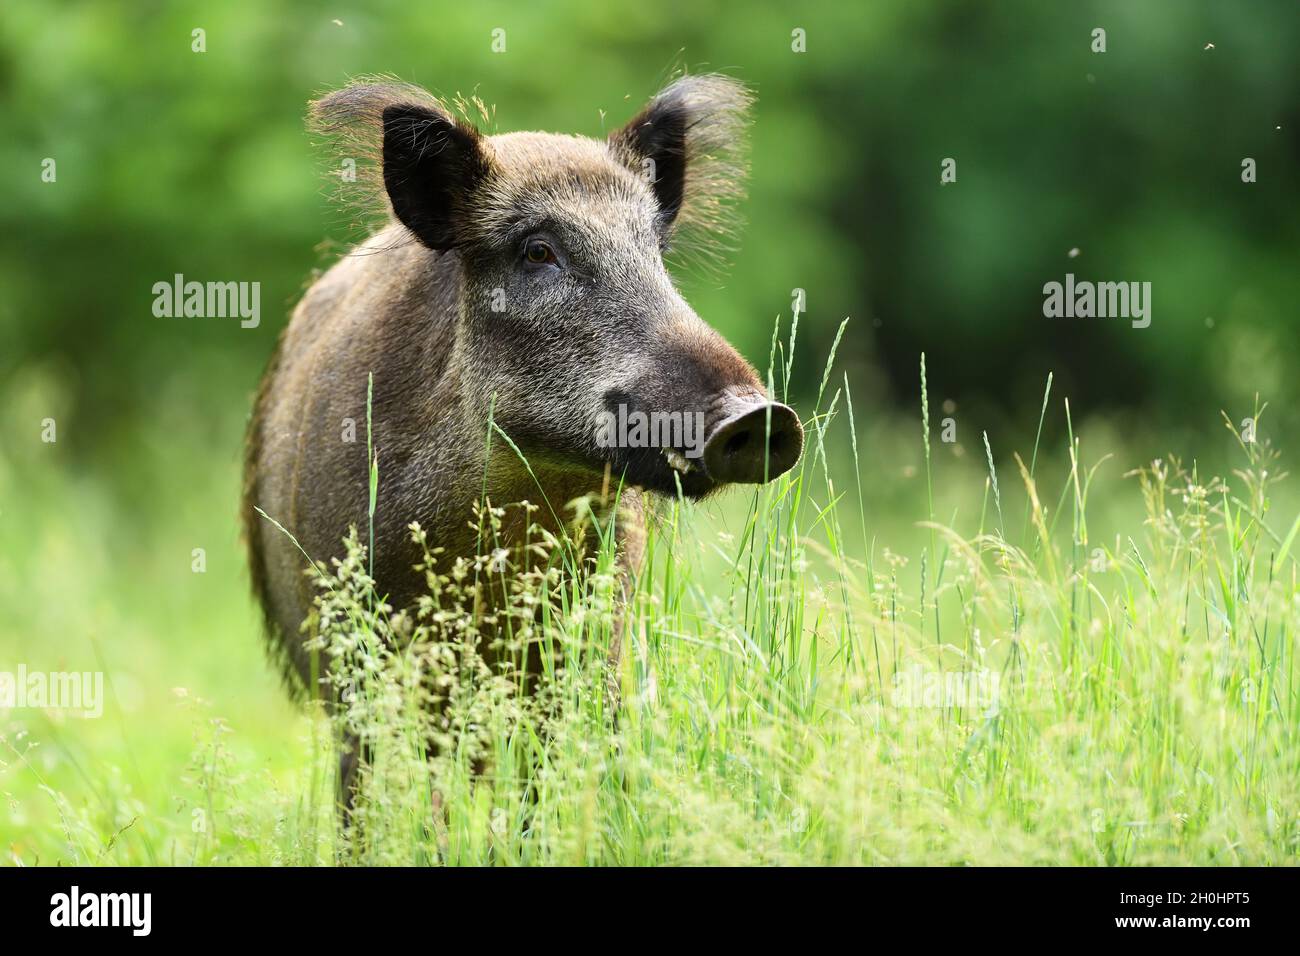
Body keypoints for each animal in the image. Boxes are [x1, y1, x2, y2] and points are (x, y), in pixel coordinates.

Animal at [241, 74, 803, 795]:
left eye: (654, 251)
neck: (513, 507)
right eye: (539, 251)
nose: (760, 416)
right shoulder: (356, 636)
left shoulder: (596, 628)